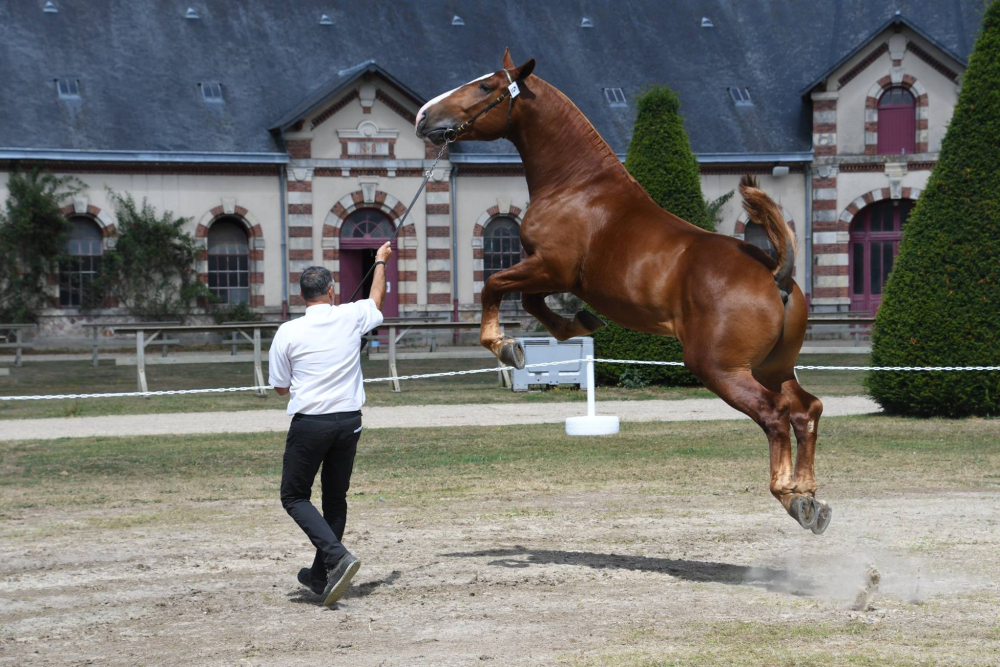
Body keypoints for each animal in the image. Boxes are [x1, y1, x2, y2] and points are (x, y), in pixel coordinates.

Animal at [415, 48, 831, 534]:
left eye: (486, 86)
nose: (424, 117)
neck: (578, 186)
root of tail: (775, 272)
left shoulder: (550, 268)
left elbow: (494, 286)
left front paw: (507, 346)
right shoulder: (553, 276)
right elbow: (533, 303)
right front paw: (577, 324)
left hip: (721, 369)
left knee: (775, 414)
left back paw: (789, 495)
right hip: (772, 367)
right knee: (807, 409)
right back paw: (809, 497)